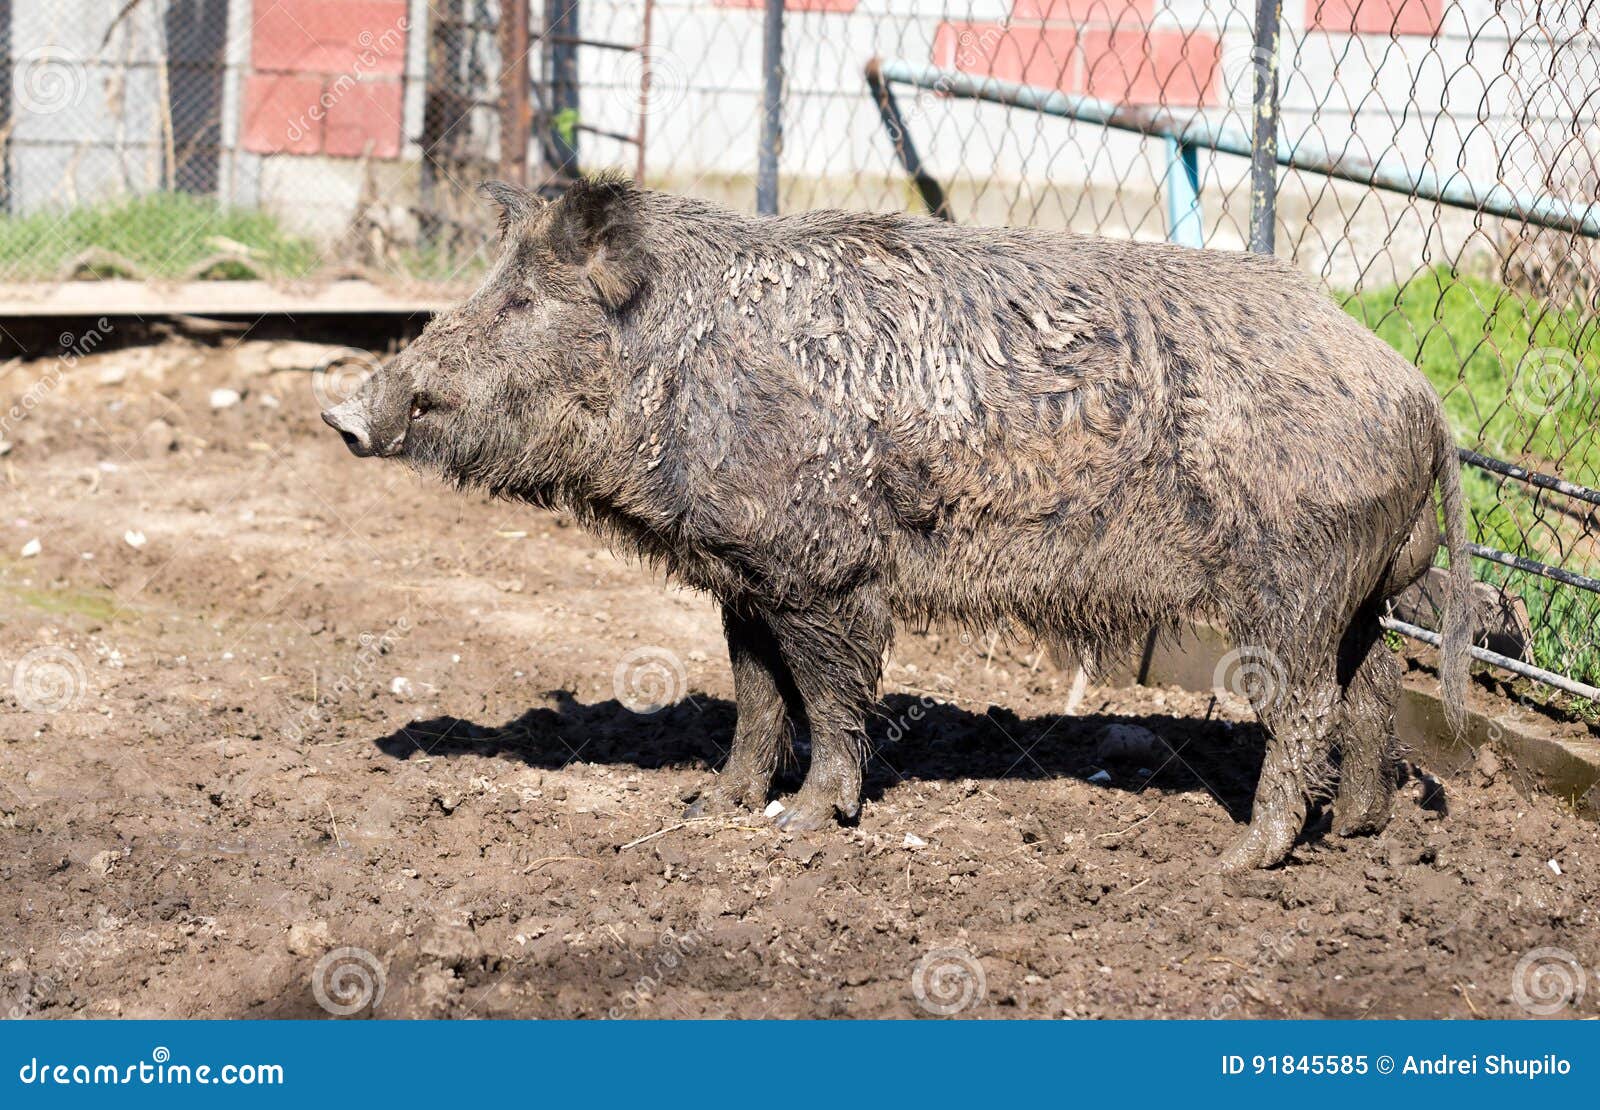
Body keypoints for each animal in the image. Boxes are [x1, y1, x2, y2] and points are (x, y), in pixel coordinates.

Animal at [322, 175, 1471, 870]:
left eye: (521, 303)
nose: (344, 414)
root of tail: (1420, 392)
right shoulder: (745, 576)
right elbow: (755, 697)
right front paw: (711, 809)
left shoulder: (823, 570)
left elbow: (833, 699)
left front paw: (806, 821)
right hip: (1358, 587)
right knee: (1375, 688)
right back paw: (1358, 832)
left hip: (1294, 577)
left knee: (1310, 704)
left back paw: (1240, 859)